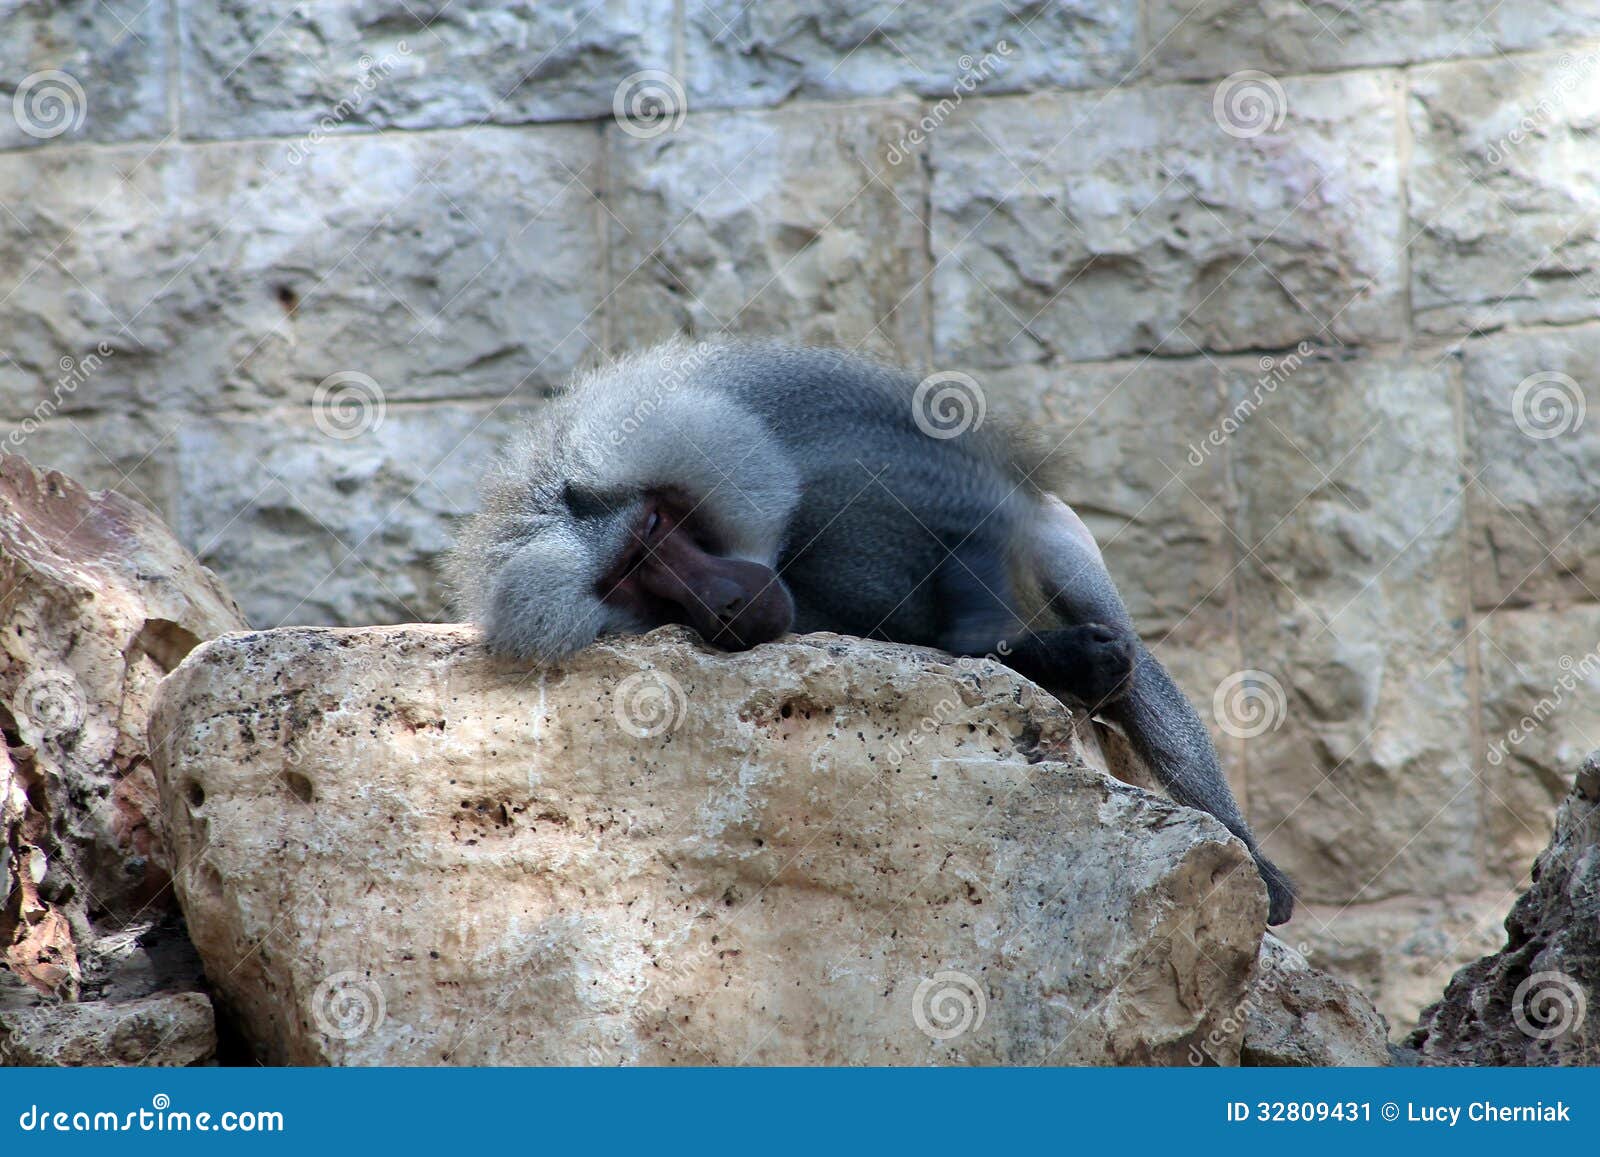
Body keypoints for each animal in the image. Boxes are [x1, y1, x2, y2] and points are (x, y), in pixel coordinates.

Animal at [444, 339, 1295, 925]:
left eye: (655, 526)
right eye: (626, 581)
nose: (723, 605)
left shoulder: (848, 481)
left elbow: (970, 523)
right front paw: (1064, 664)